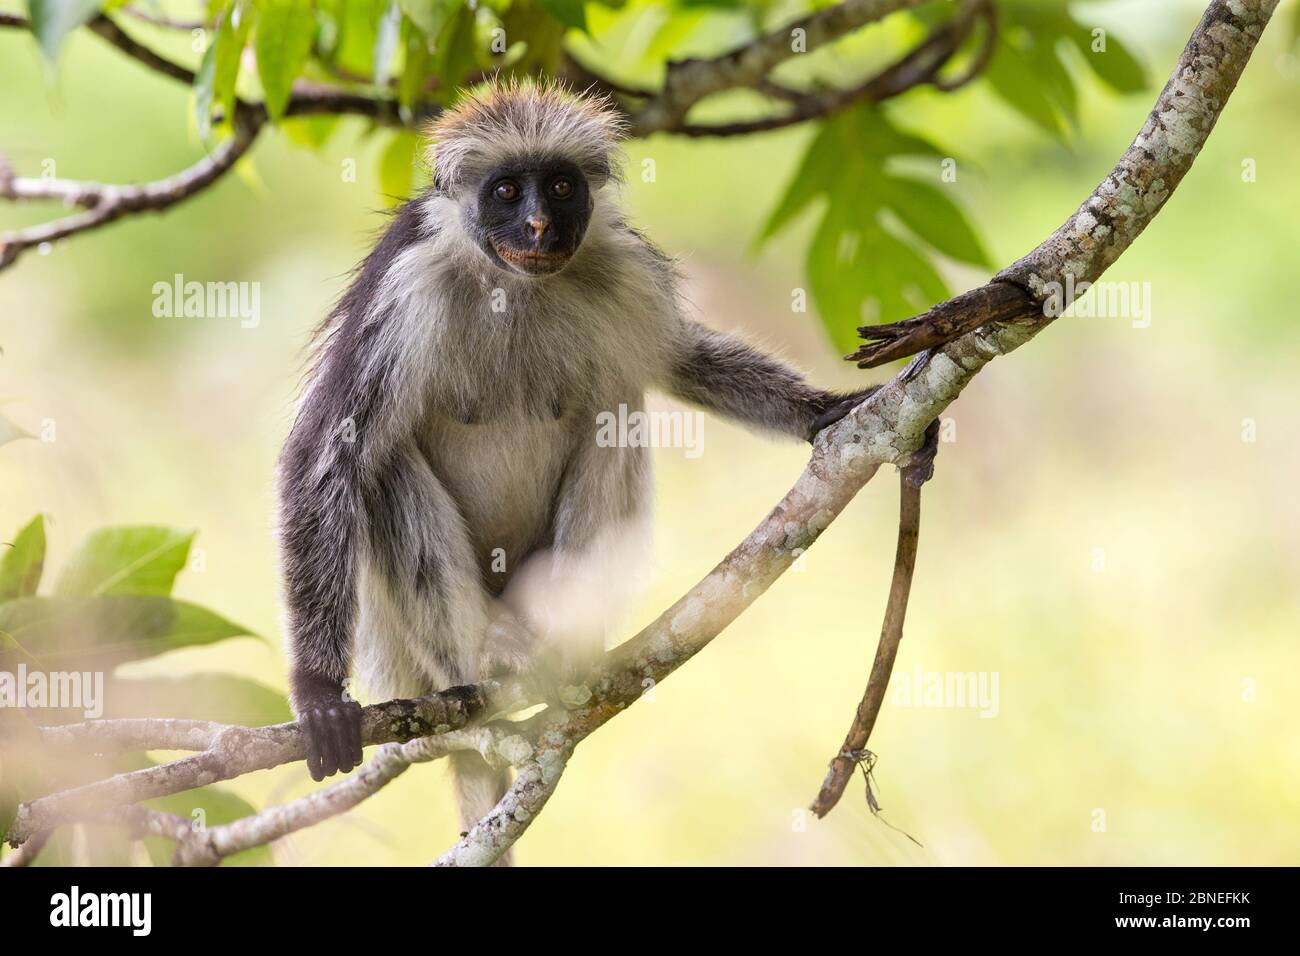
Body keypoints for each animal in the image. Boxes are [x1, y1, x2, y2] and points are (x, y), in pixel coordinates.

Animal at [277, 80, 880, 852]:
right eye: (507, 191)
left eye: (560, 187)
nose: (538, 225)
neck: (514, 283)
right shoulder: (404, 284)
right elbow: (327, 451)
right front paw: (319, 694)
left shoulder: (621, 266)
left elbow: (678, 358)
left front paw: (823, 411)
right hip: (405, 655)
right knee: (382, 467)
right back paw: (488, 664)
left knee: (613, 408)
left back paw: (562, 643)